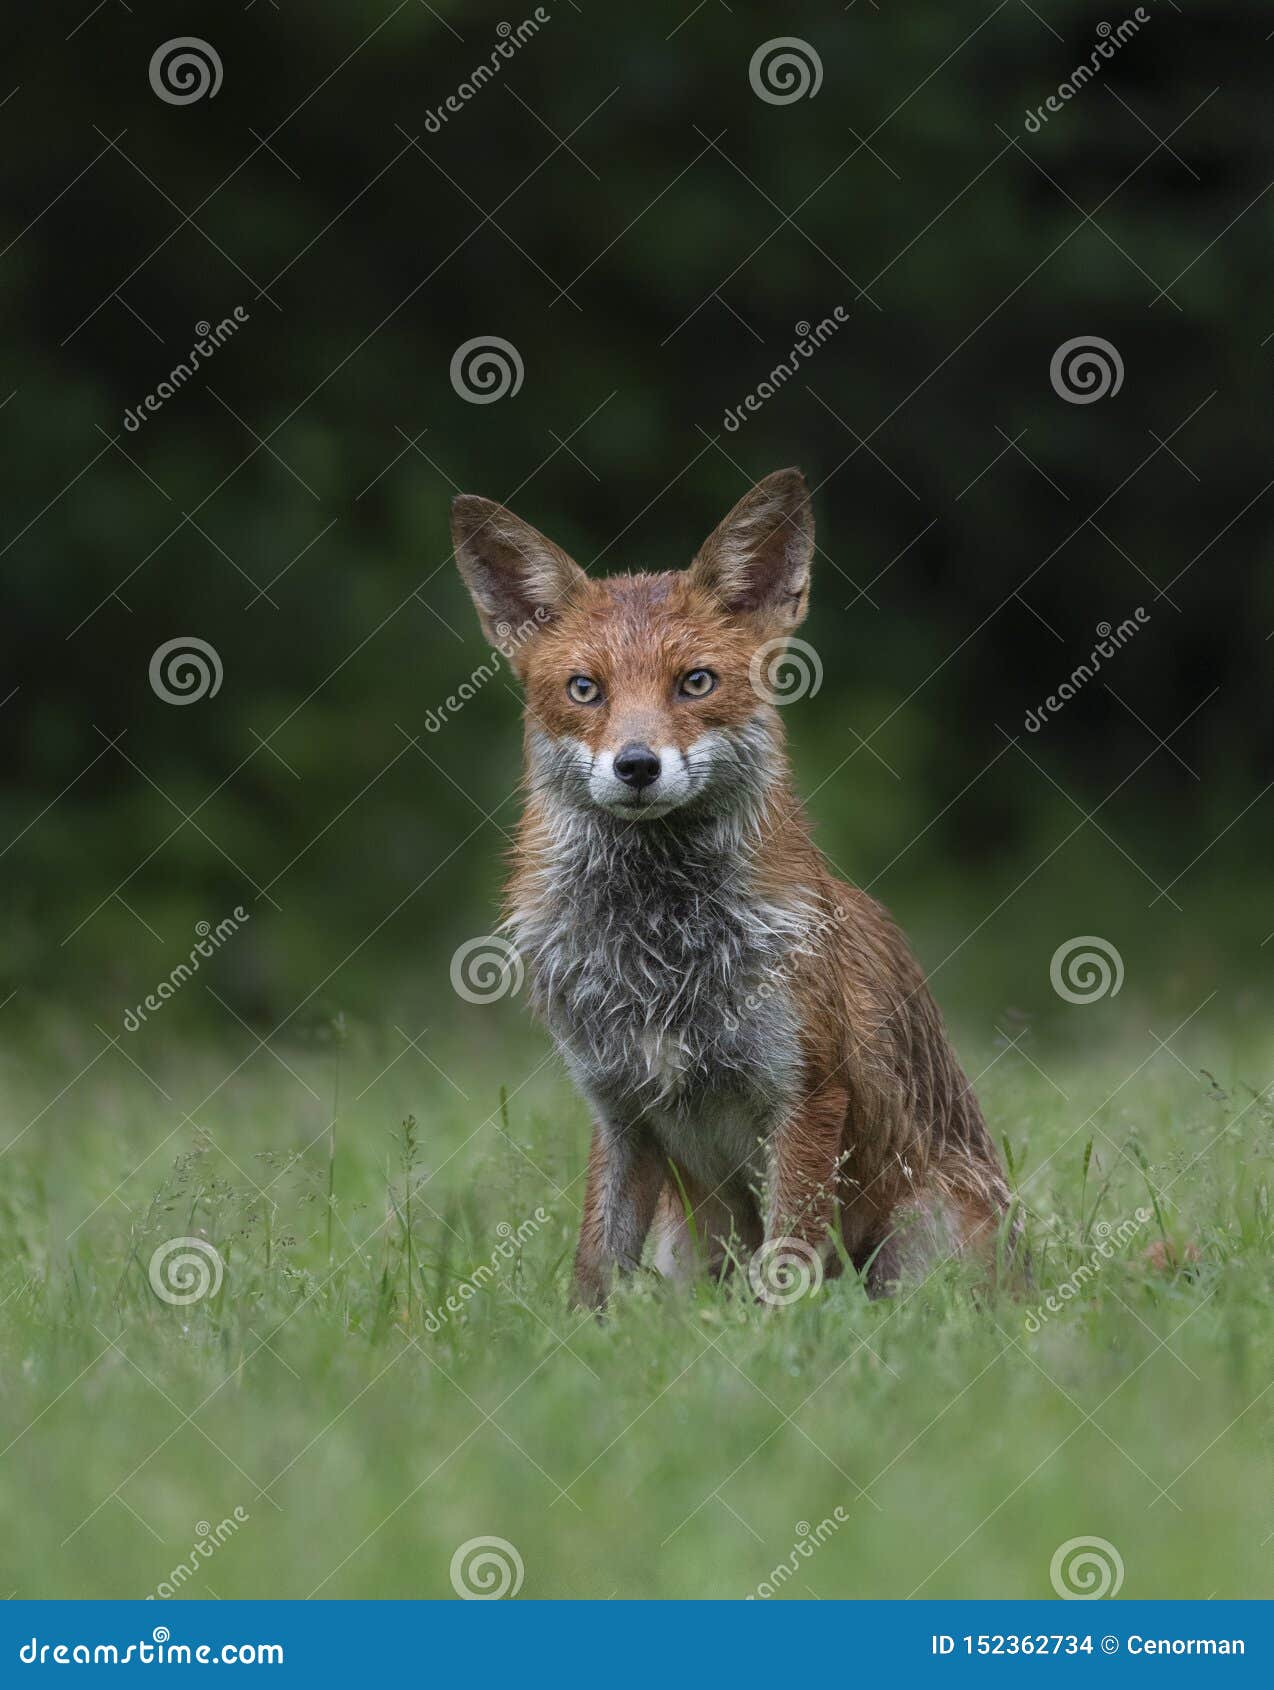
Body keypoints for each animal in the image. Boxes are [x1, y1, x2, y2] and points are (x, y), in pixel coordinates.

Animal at [450, 467, 1012, 1310]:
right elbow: (594, 1270)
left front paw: (780, 1339)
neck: (659, 944)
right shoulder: (618, 1109)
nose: (637, 765)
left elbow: (786, 1270)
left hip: (919, 1238)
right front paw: (573, 1338)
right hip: (684, 1239)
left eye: (695, 683)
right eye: (585, 689)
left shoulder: (805, 1091)